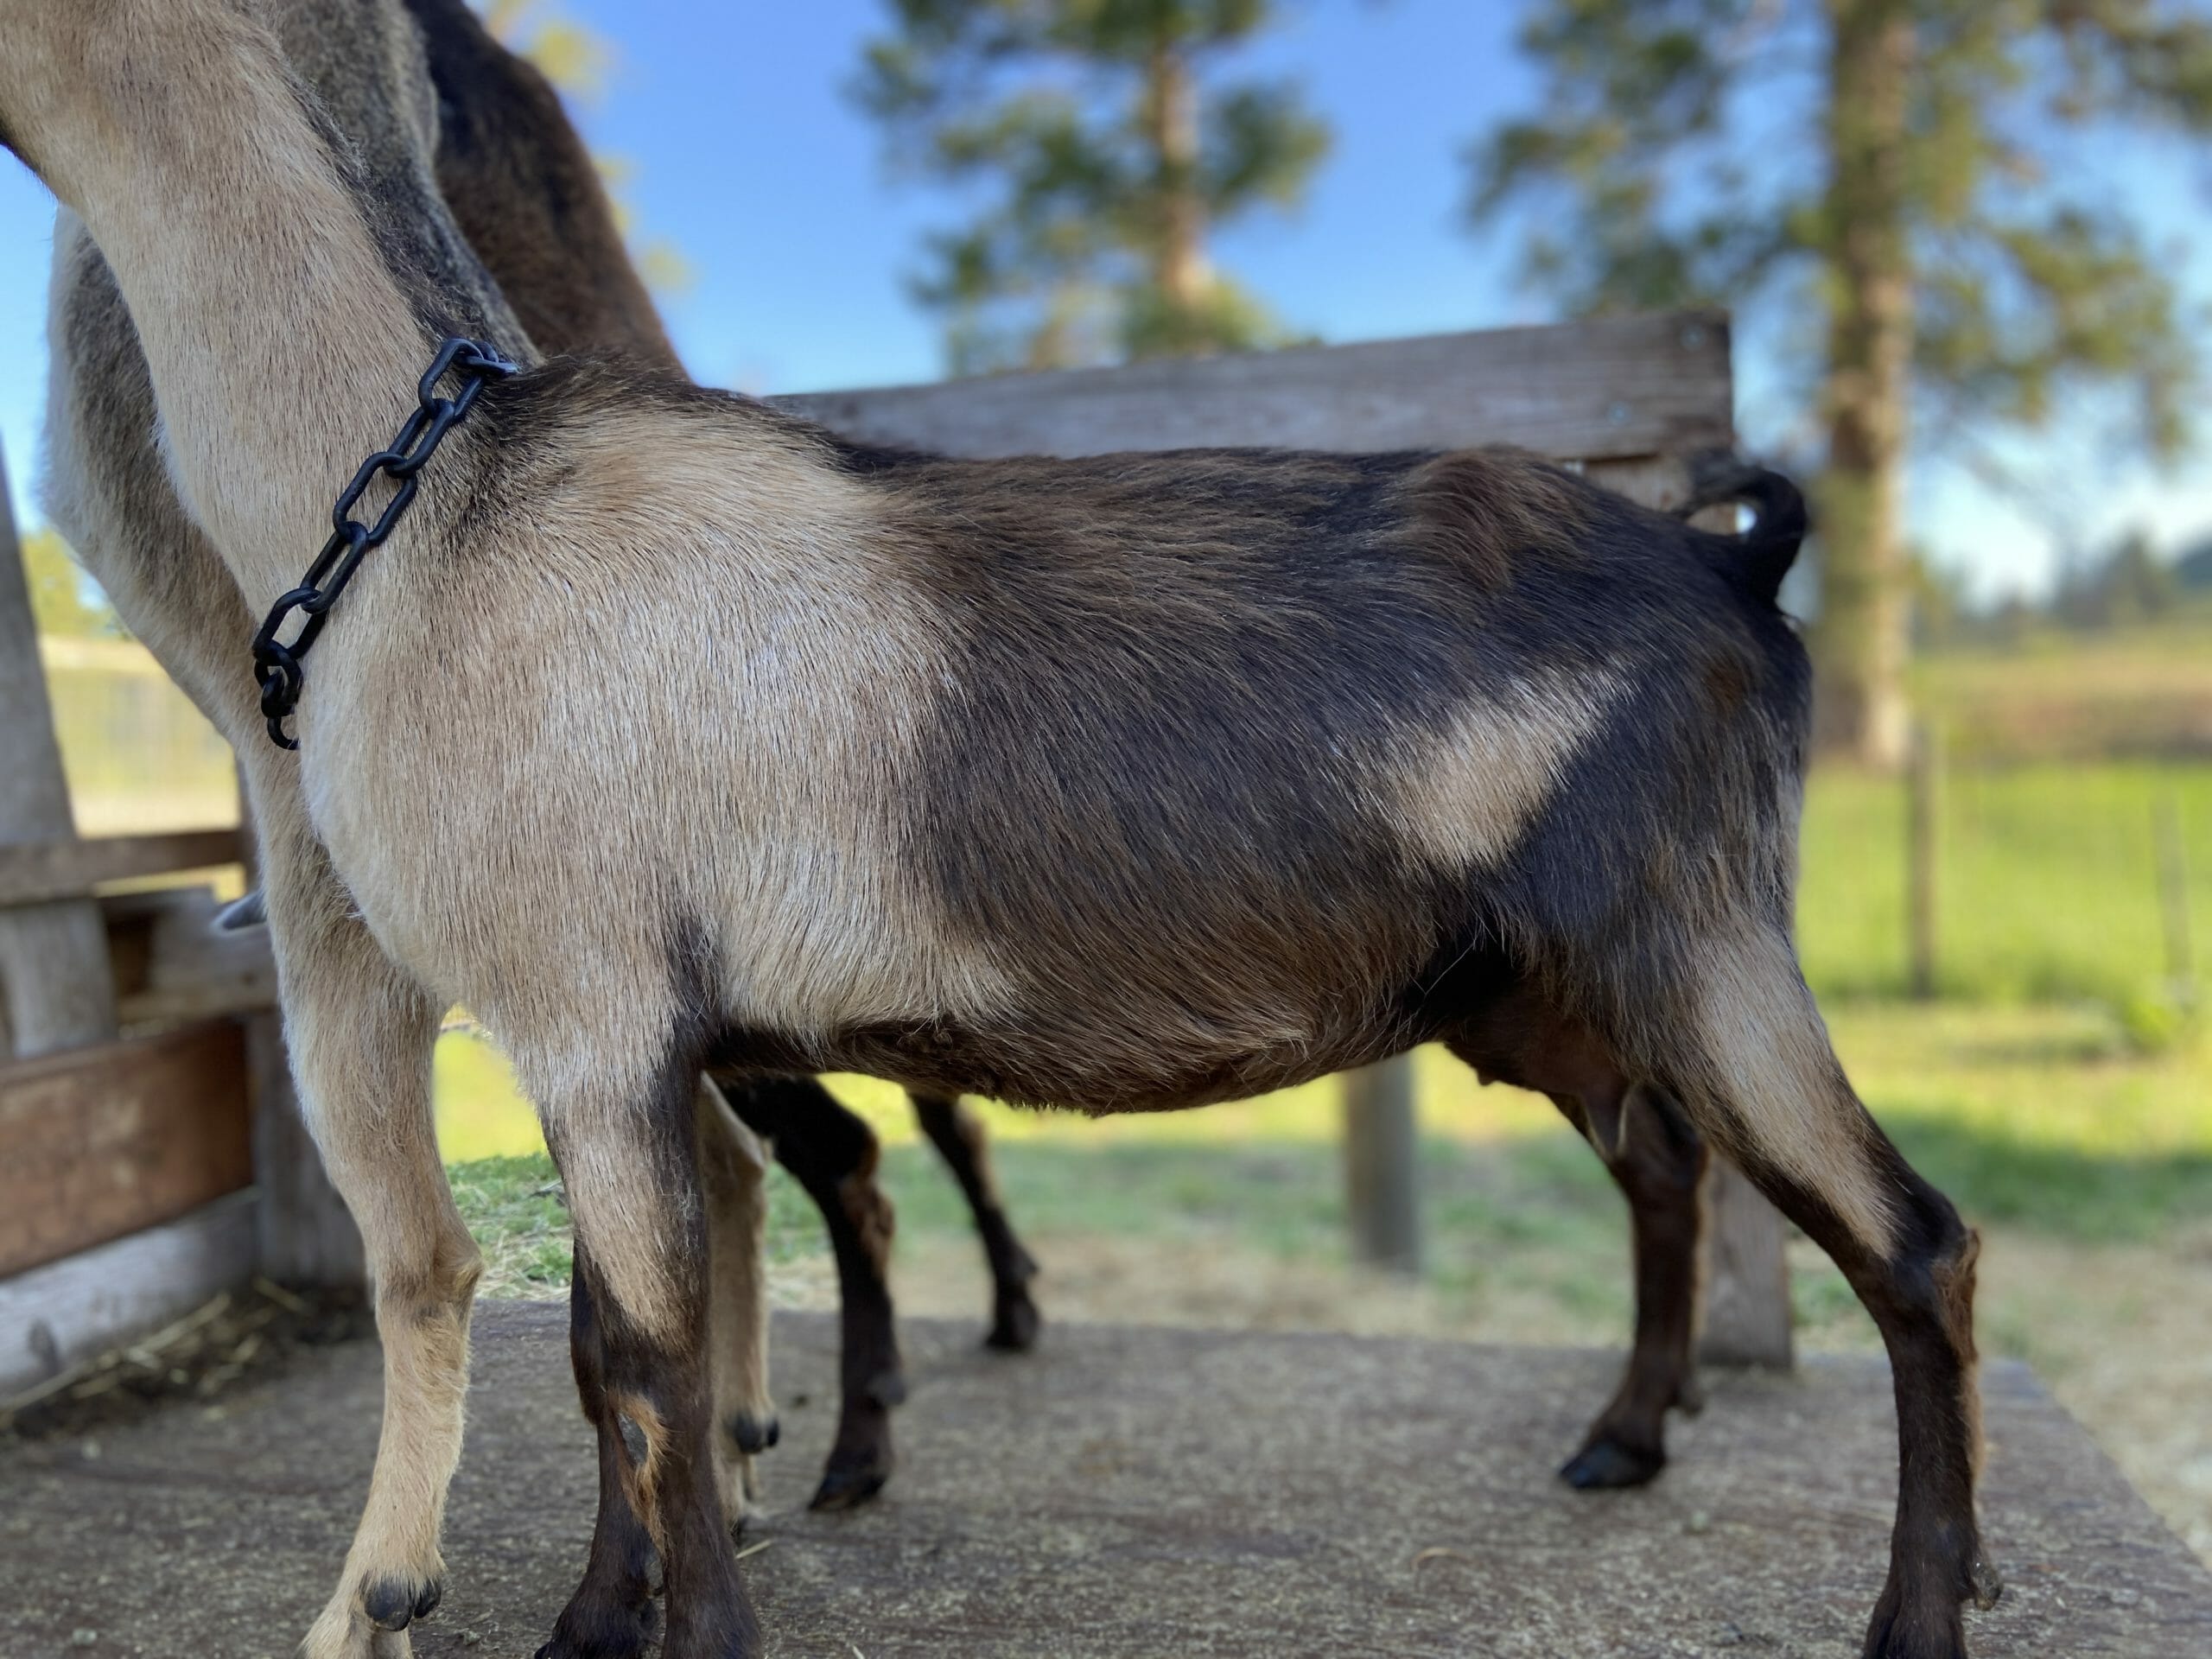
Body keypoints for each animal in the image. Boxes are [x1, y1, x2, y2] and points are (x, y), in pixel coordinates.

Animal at [1, 6, 1999, 1659]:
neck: (430, 508)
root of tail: (1732, 567)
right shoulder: (621, 1044)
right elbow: (612, 1359)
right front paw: (597, 1623)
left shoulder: (590, 1020)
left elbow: (637, 1361)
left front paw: (667, 1630)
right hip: (1535, 991)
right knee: (1670, 1166)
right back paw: (1621, 1444)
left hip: (1702, 944)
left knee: (1910, 1243)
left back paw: (1915, 1612)